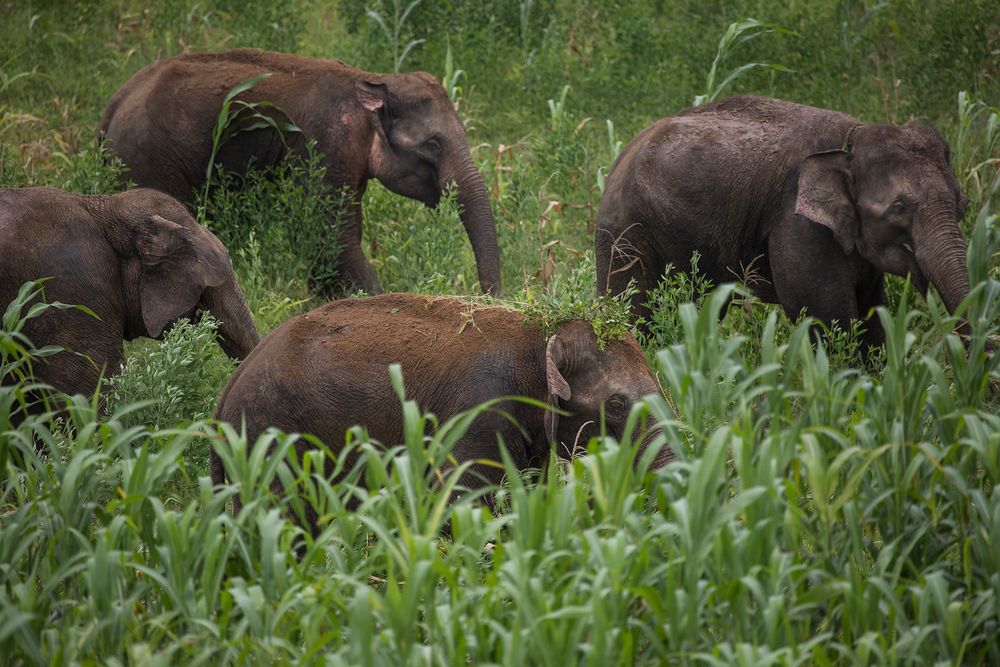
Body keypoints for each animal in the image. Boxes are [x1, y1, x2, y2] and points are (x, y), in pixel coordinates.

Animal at [98, 48, 501, 296]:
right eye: (432, 145)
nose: (486, 298)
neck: (371, 78)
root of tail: (115, 103)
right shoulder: (325, 143)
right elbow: (332, 237)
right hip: (146, 161)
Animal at [212, 293, 671, 528]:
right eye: (616, 405)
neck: (541, 328)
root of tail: (226, 391)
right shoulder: (479, 407)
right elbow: (461, 502)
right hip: (271, 439)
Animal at [596, 95, 971, 349]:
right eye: (898, 208)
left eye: (962, 204)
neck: (854, 136)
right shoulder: (798, 225)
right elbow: (826, 317)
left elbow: (871, 316)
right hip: (628, 232)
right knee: (631, 310)